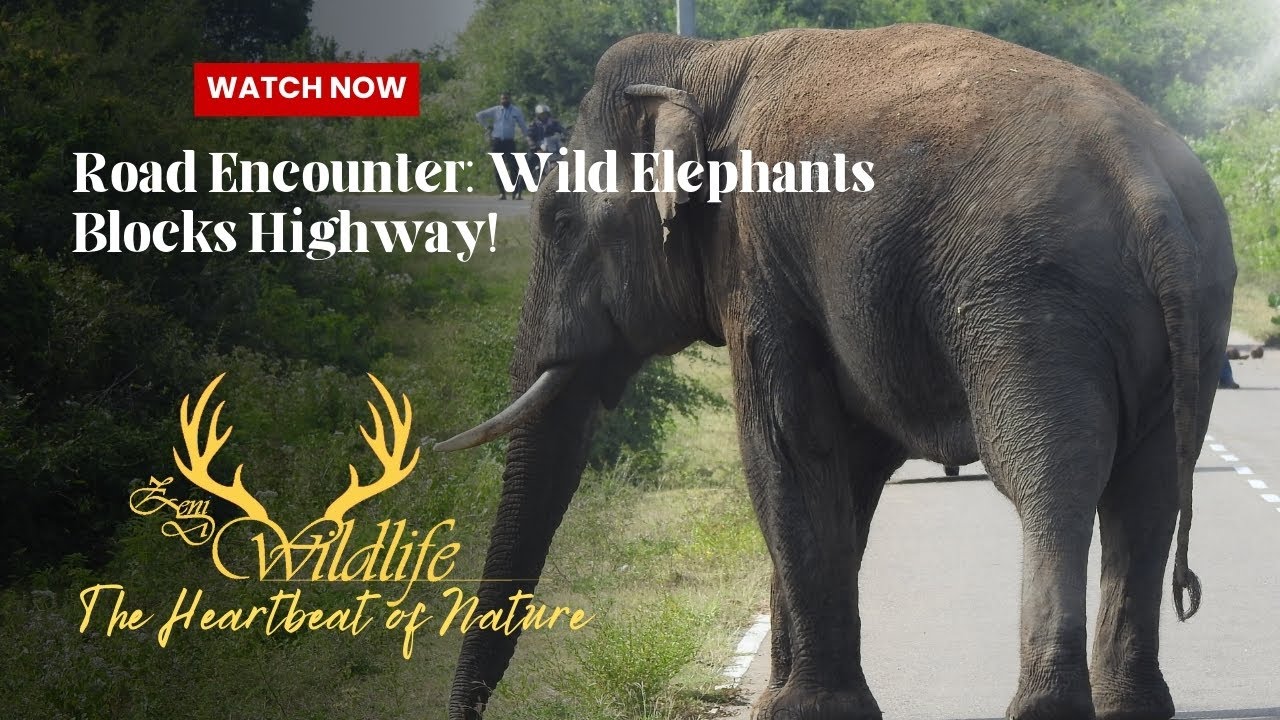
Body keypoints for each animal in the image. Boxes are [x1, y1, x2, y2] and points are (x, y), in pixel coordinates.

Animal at [434, 23, 1236, 720]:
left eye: (561, 221)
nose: (469, 712)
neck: (703, 63)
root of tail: (1144, 185)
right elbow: (848, 466)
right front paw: (783, 702)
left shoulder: (758, 262)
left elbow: (787, 446)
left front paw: (802, 711)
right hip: (1192, 309)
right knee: (1148, 488)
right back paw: (1134, 707)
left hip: (1031, 299)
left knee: (1050, 478)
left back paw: (1044, 709)